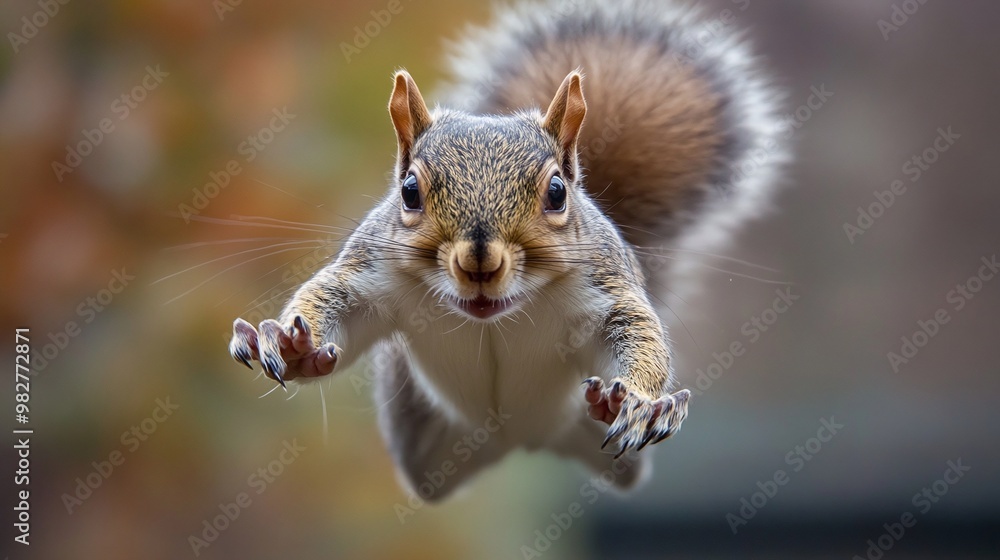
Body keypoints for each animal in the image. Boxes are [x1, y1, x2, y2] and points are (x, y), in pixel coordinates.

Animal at [229, 0, 784, 501]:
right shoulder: (372, 276)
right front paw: (291, 345)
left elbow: (636, 332)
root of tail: (519, 441)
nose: (480, 262)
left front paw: (640, 402)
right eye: (409, 191)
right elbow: (337, 308)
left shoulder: (604, 290)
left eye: (557, 192)